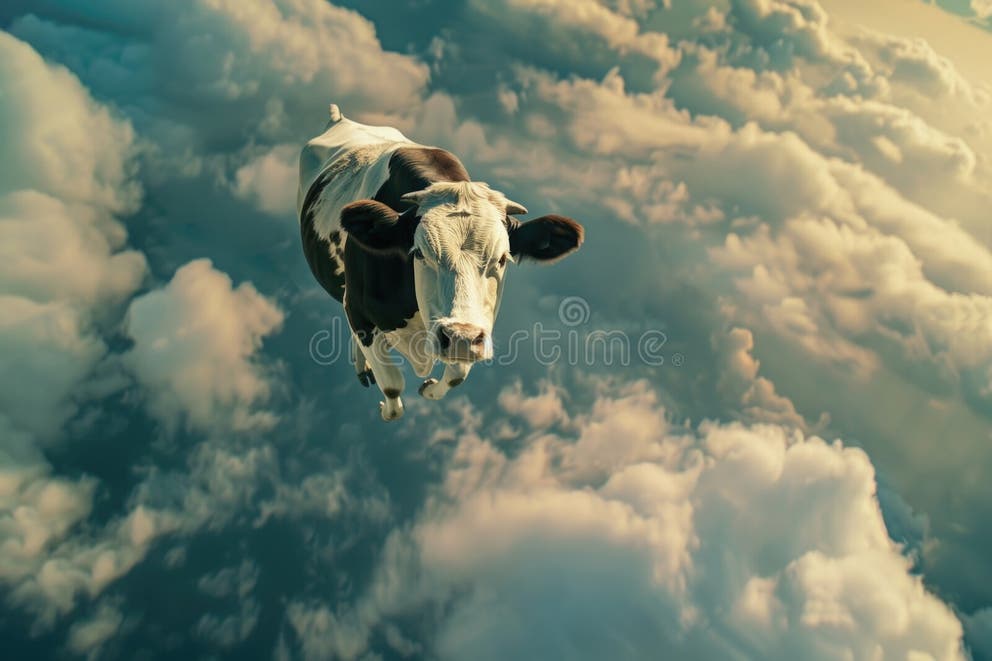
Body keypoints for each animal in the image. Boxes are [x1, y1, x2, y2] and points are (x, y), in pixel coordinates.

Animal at [298, 104, 584, 421]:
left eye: (501, 259)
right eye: (419, 253)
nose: (460, 337)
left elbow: (457, 373)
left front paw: (430, 388)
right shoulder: (359, 309)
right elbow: (393, 385)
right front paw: (387, 407)